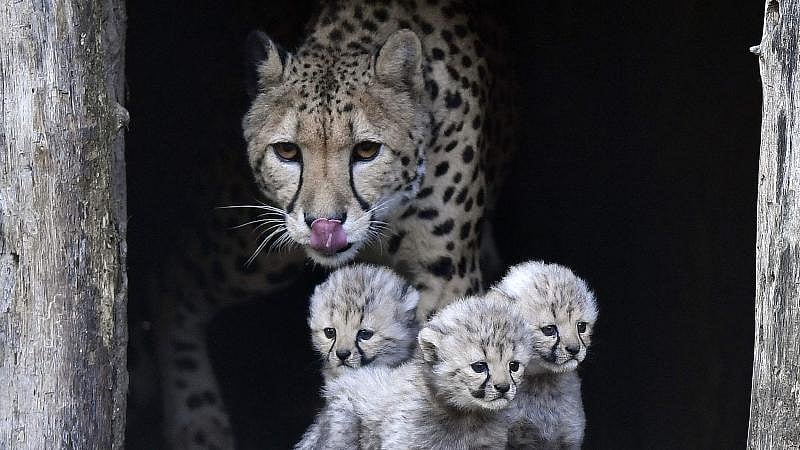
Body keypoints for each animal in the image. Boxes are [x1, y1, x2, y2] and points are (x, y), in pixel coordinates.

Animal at [135, 1, 517, 448]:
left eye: (367, 150)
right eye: (286, 151)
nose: (324, 225)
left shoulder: (443, 276)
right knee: (169, 279)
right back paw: (196, 418)